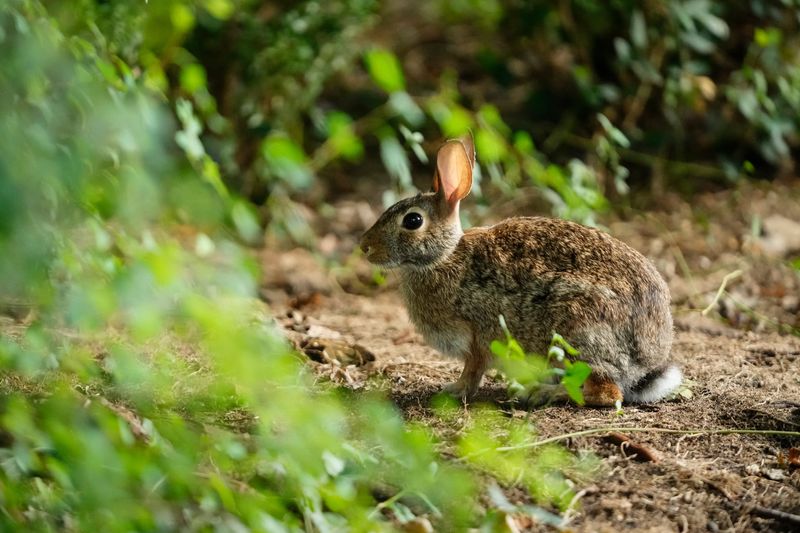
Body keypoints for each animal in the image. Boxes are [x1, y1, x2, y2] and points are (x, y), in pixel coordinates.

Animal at [359, 135, 682, 406]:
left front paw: (453, 390)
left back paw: (543, 392)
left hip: (576, 331)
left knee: (605, 392)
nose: (364, 246)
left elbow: (472, 370)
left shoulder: (478, 336)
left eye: (412, 221)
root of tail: (645, 361)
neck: (444, 257)